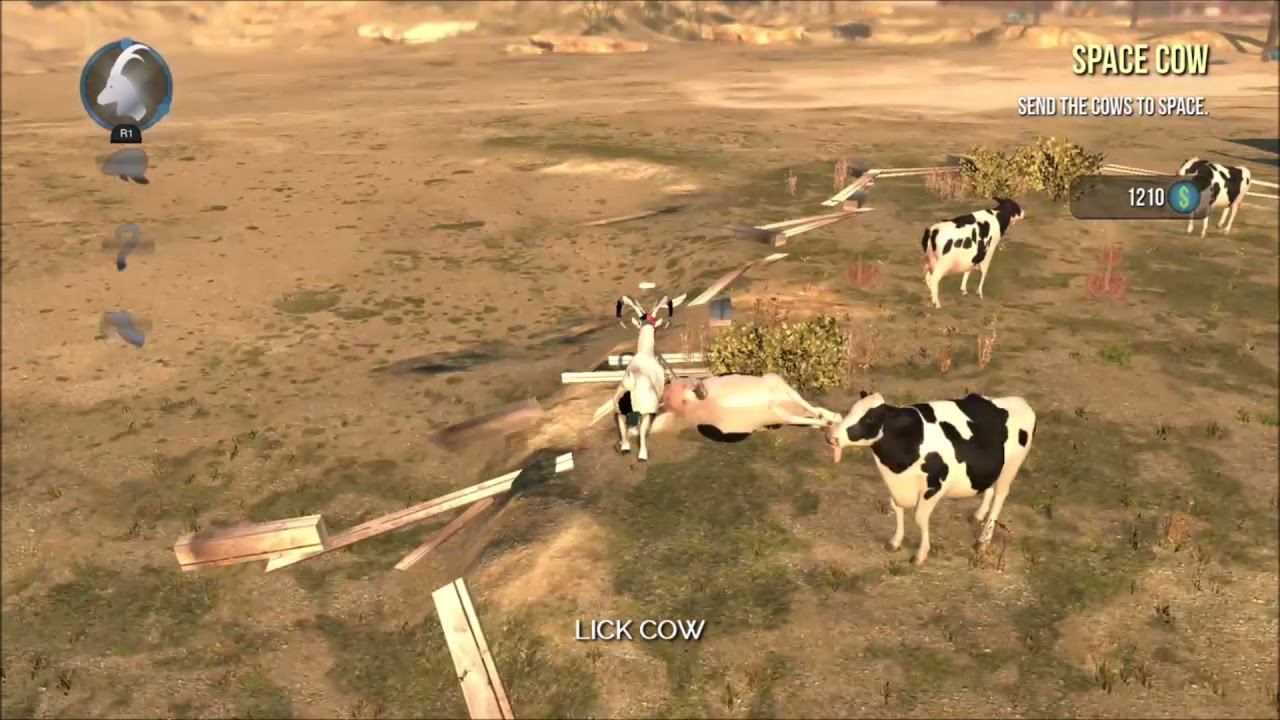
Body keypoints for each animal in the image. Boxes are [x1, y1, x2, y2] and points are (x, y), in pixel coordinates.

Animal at [825, 391, 1036, 566]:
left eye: (869, 417)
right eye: (852, 409)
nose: (831, 436)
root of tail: (1020, 401)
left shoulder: (933, 487)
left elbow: (920, 518)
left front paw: (920, 554)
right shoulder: (896, 484)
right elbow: (896, 509)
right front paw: (895, 542)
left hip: (1009, 469)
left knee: (999, 498)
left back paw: (983, 541)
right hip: (990, 467)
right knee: (989, 489)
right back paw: (977, 515)